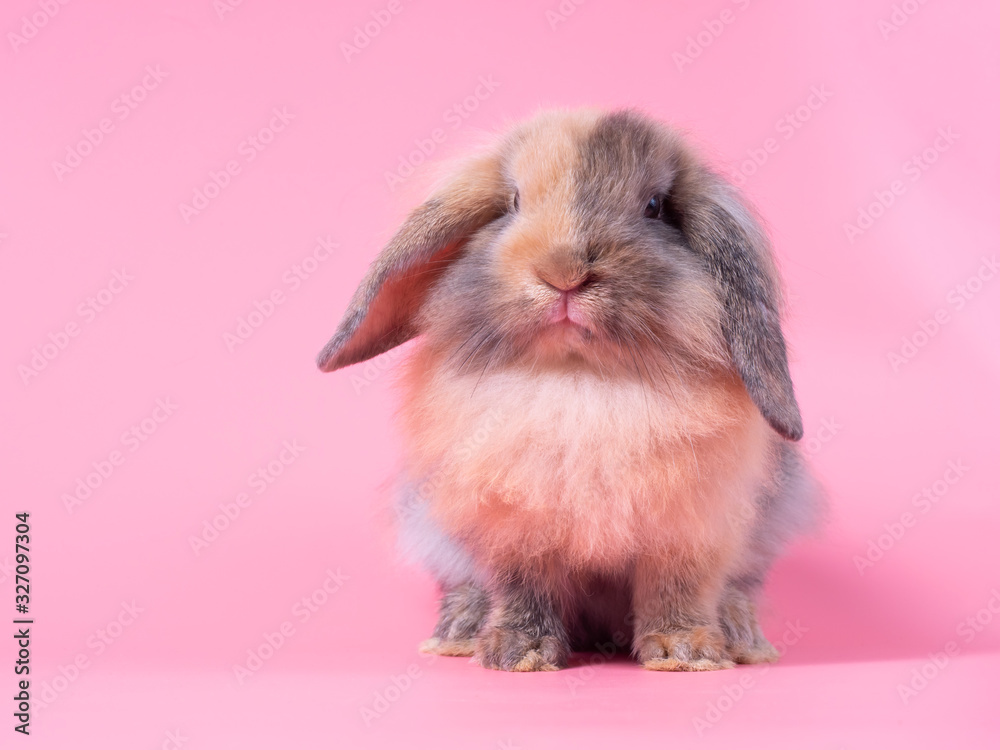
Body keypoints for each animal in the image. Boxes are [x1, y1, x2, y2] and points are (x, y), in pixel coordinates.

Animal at [317, 108, 820, 672]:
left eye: (654, 207)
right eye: (513, 202)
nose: (563, 273)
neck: (580, 379)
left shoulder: (690, 528)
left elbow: (677, 589)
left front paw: (684, 652)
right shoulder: (512, 526)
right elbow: (523, 588)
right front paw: (518, 654)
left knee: (735, 590)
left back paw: (743, 638)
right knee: (465, 587)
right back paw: (459, 634)